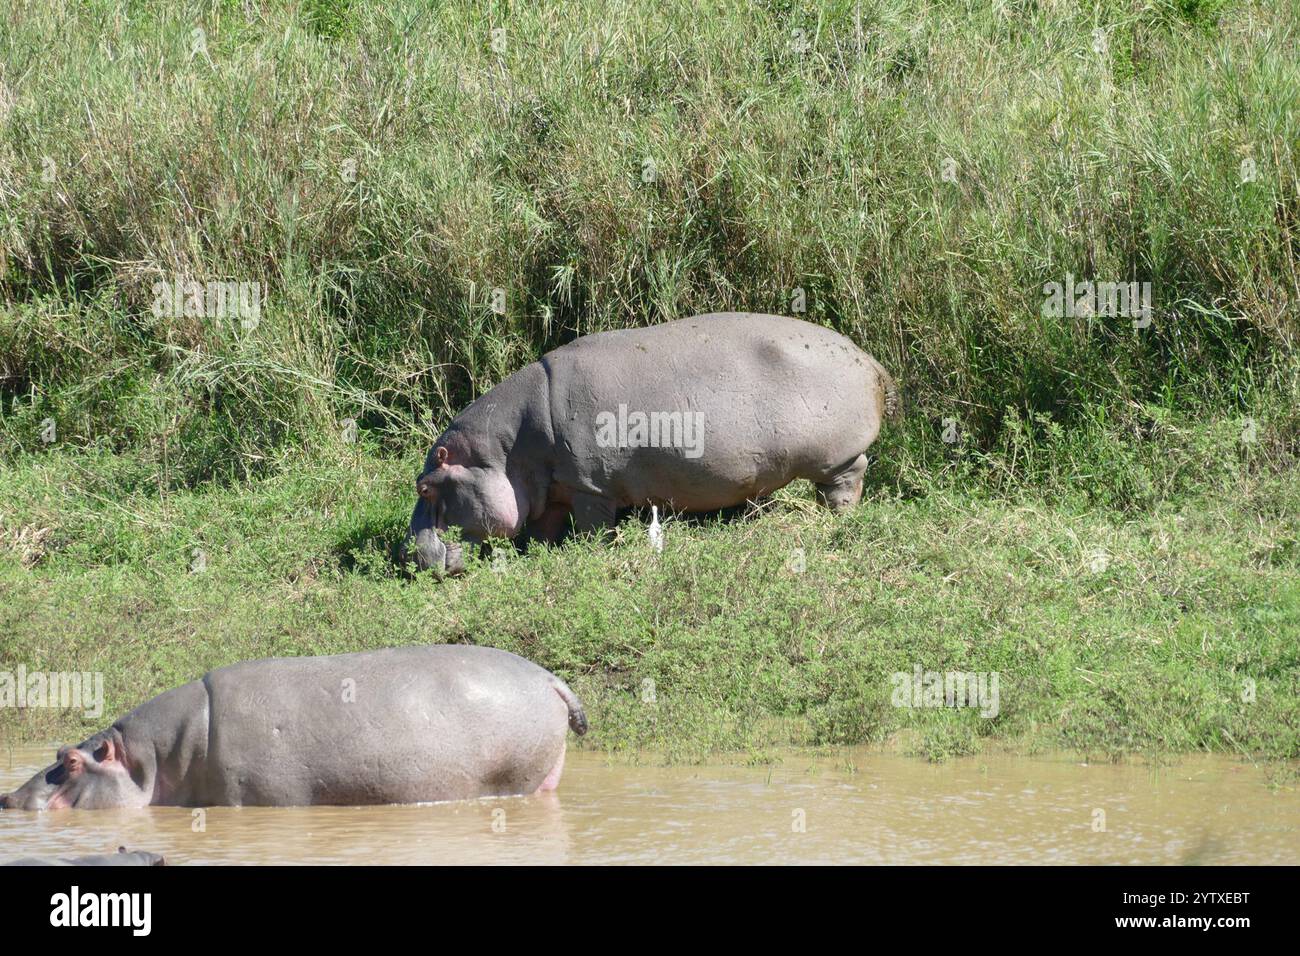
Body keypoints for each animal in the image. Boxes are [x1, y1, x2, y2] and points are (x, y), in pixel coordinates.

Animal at [0, 645, 587, 810]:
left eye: (71, 762)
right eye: (58, 749)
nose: (8, 798)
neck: (153, 761)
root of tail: (551, 679)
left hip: (514, 776)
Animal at [404, 312, 899, 574]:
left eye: (424, 487)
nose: (406, 555)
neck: (504, 451)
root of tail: (871, 361)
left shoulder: (589, 487)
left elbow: (592, 527)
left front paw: (588, 553)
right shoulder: (553, 489)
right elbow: (544, 524)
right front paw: (541, 552)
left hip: (835, 457)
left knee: (848, 478)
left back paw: (837, 516)